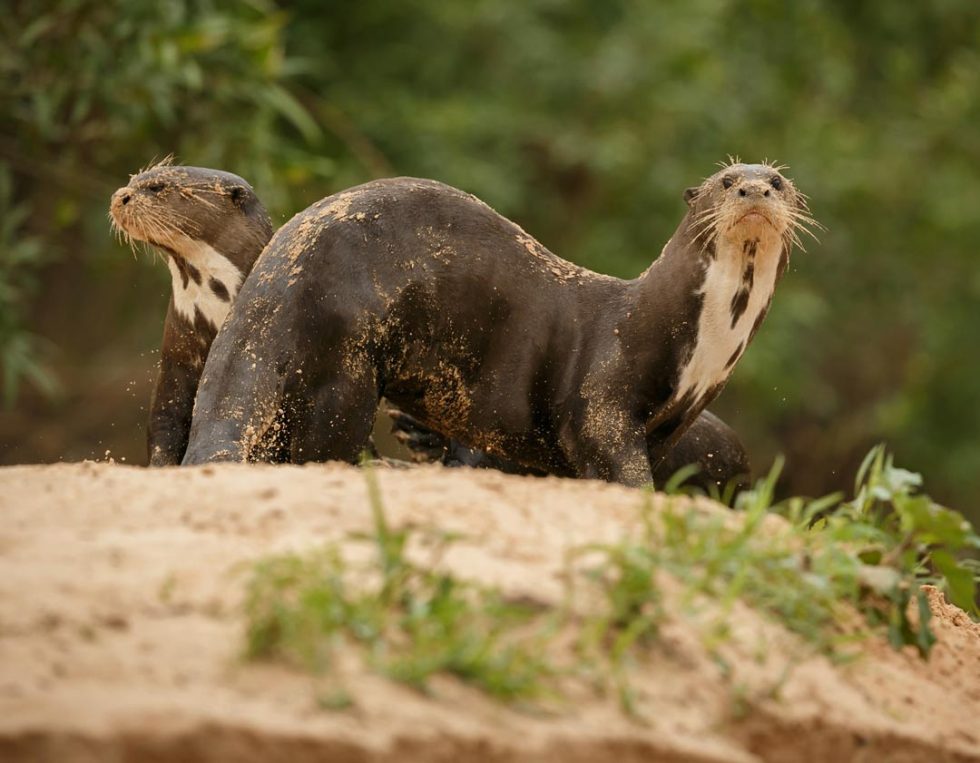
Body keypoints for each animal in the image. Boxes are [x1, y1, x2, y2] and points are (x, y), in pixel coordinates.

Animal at [182, 162, 813, 486]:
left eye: (778, 181)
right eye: (726, 182)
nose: (754, 189)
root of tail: (273, 293)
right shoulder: (603, 397)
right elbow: (611, 456)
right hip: (344, 359)